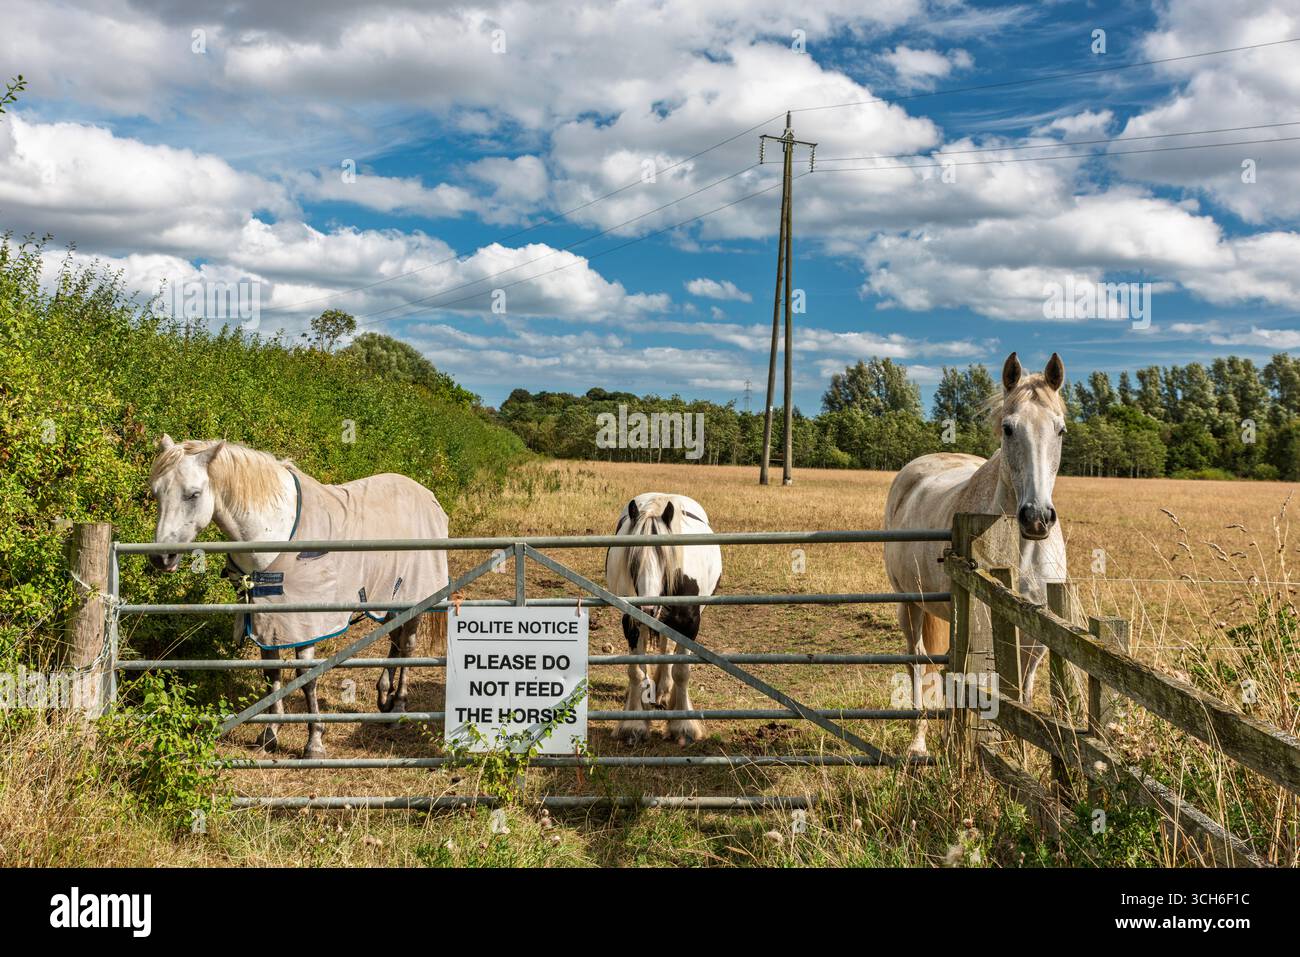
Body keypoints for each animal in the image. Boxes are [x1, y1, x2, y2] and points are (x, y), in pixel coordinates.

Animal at [148, 436, 449, 757]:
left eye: (193, 494)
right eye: (156, 493)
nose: (161, 558)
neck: (272, 534)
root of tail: (426, 494)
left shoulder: (306, 621)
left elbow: (306, 678)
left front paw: (314, 741)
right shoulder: (266, 619)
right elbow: (271, 676)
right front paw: (269, 733)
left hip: (416, 596)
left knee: (407, 645)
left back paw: (399, 707)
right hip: (392, 597)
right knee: (395, 638)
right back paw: (384, 698)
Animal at [605, 493, 722, 746]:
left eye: (664, 559)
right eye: (633, 561)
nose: (647, 610)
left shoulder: (689, 625)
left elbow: (681, 672)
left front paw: (683, 726)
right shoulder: (631, 622)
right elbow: (636, 671)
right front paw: (633, 724)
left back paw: (665, 691)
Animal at [883, 352, 1069, 755]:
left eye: (1060, 430)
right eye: (1008, 429)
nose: (1036, 517)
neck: (1021, 550)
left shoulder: (1035, 635)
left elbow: (1022, 693)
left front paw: (1019, 752)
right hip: (910, 603)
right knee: (917, 664)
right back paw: (919, 743)